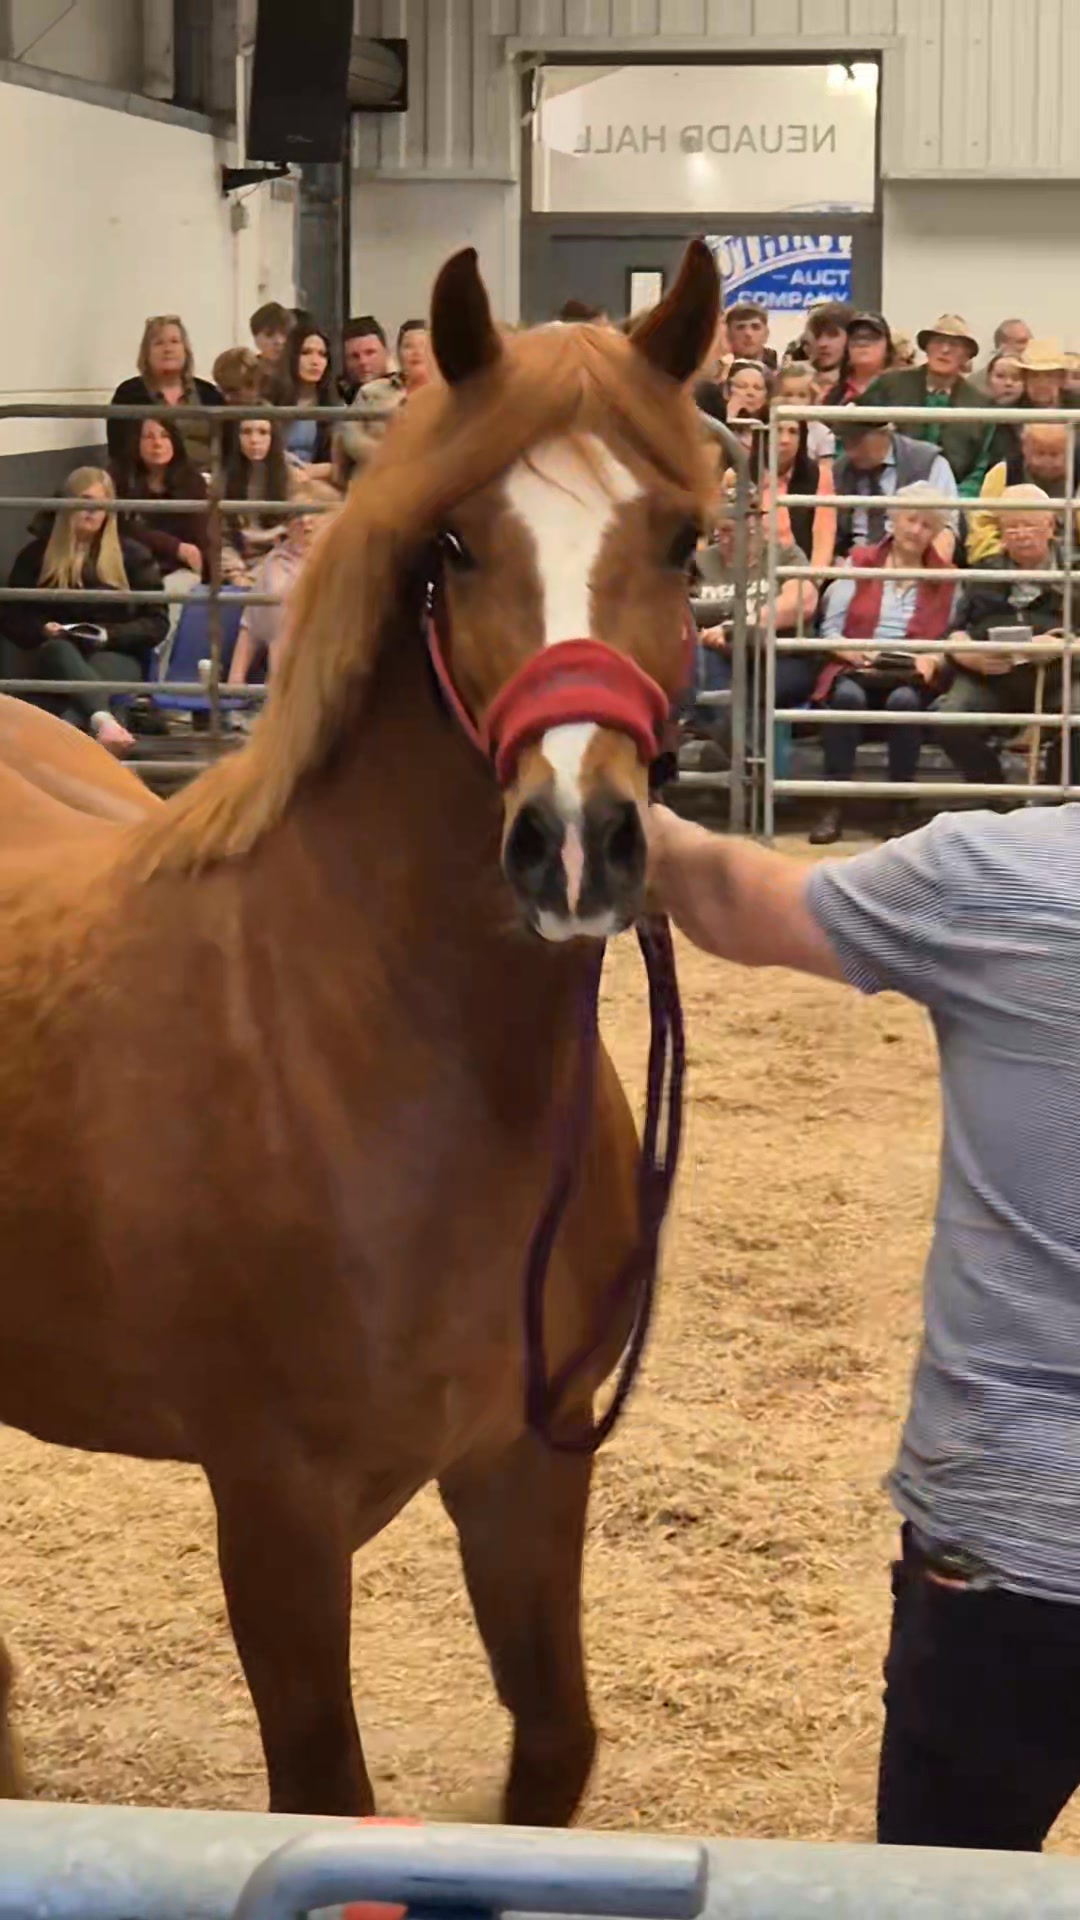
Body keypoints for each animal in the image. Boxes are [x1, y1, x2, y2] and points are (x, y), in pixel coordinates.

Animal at [0, 241, 718, 1821]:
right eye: (454, 547)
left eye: (688, 540)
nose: (574, 846)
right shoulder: (275, 1513)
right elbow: (329, 1797)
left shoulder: (523, 1464)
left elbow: (555, 1745)